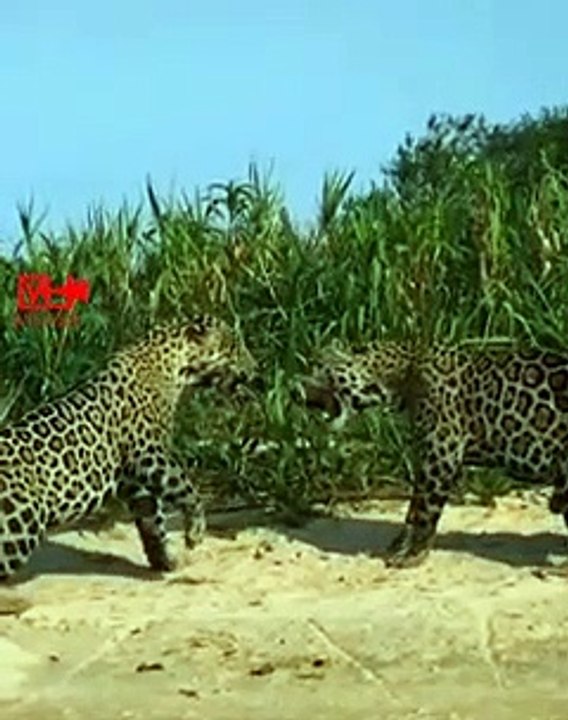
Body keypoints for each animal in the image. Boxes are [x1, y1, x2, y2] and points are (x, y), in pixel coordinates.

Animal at [0, 315, 254, 580]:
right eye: (235, 348)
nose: (255, 369)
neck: (172, 366)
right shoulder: (149, 456)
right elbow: (185, 486)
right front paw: (195, 532)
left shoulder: (134, 480)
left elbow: (153, 519)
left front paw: (164, 560)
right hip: (19, 525)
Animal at [303, 340, 568, 568]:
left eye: (318, 367)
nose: (297, 390)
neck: (401, 373)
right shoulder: (426, 456)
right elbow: (414, 504)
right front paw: (401, 543)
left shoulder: (441, 456)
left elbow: (425, 511)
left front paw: (413, 554)